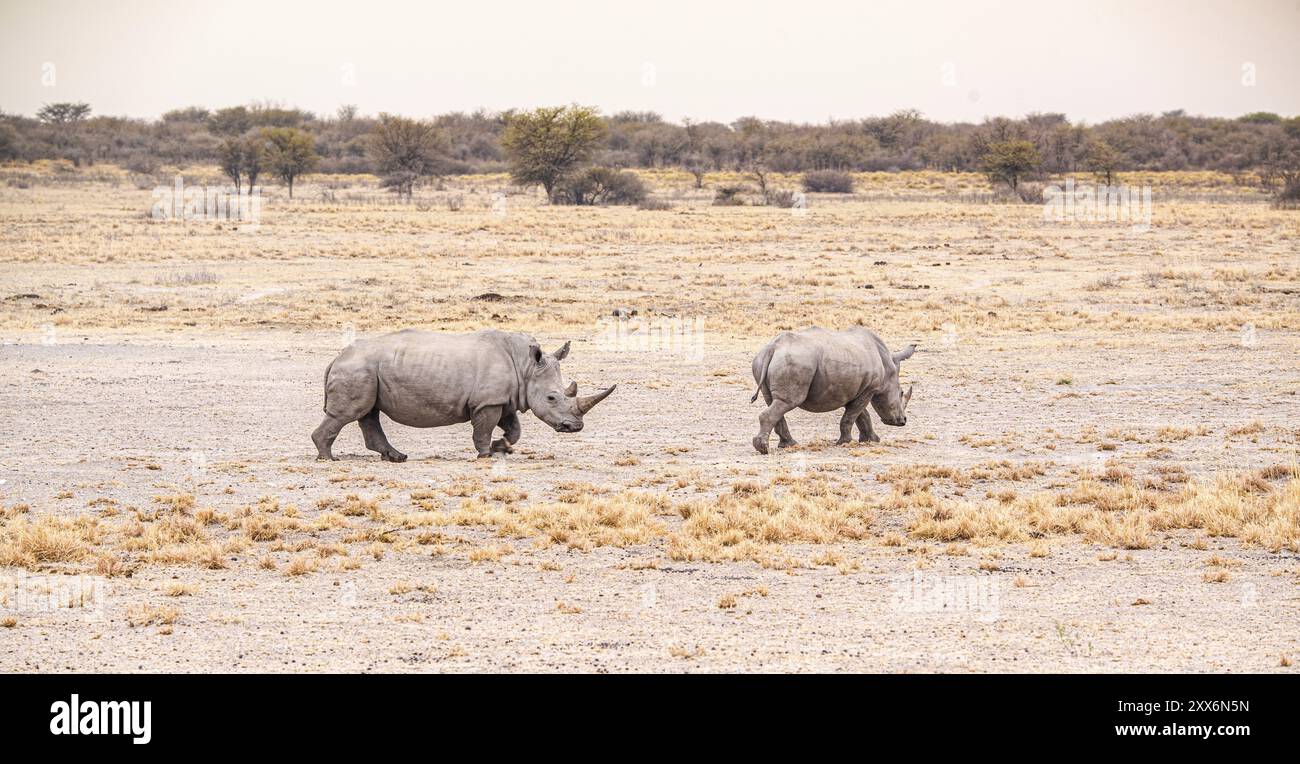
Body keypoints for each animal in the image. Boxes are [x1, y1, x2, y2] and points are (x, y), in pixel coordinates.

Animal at [312, 329, 615, 461]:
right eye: (552, 398)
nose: (575, 427)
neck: (526, 367)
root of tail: (337, 357)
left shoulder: (503, 399)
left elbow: (514, 429)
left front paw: (503, 446)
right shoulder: (487, 402)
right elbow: (483, 429)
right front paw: (486, 453)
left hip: (368, 369)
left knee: (368, 413)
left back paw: (396, 457)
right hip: (358, 368)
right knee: (349, 413)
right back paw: (328, 459)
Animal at [750, 327, 916, 454]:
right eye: (901, 393)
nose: (902, 421)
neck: (888, 366)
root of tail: (773, 348)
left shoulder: (855, 390)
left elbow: (861, 415)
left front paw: (872, 440)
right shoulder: (869, 389)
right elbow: (852, 416)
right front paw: (846, 442)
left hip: (760, 361)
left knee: (774, 401)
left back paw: (789, 444)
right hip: (795, 362)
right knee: (788, 402)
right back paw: (764, 448)